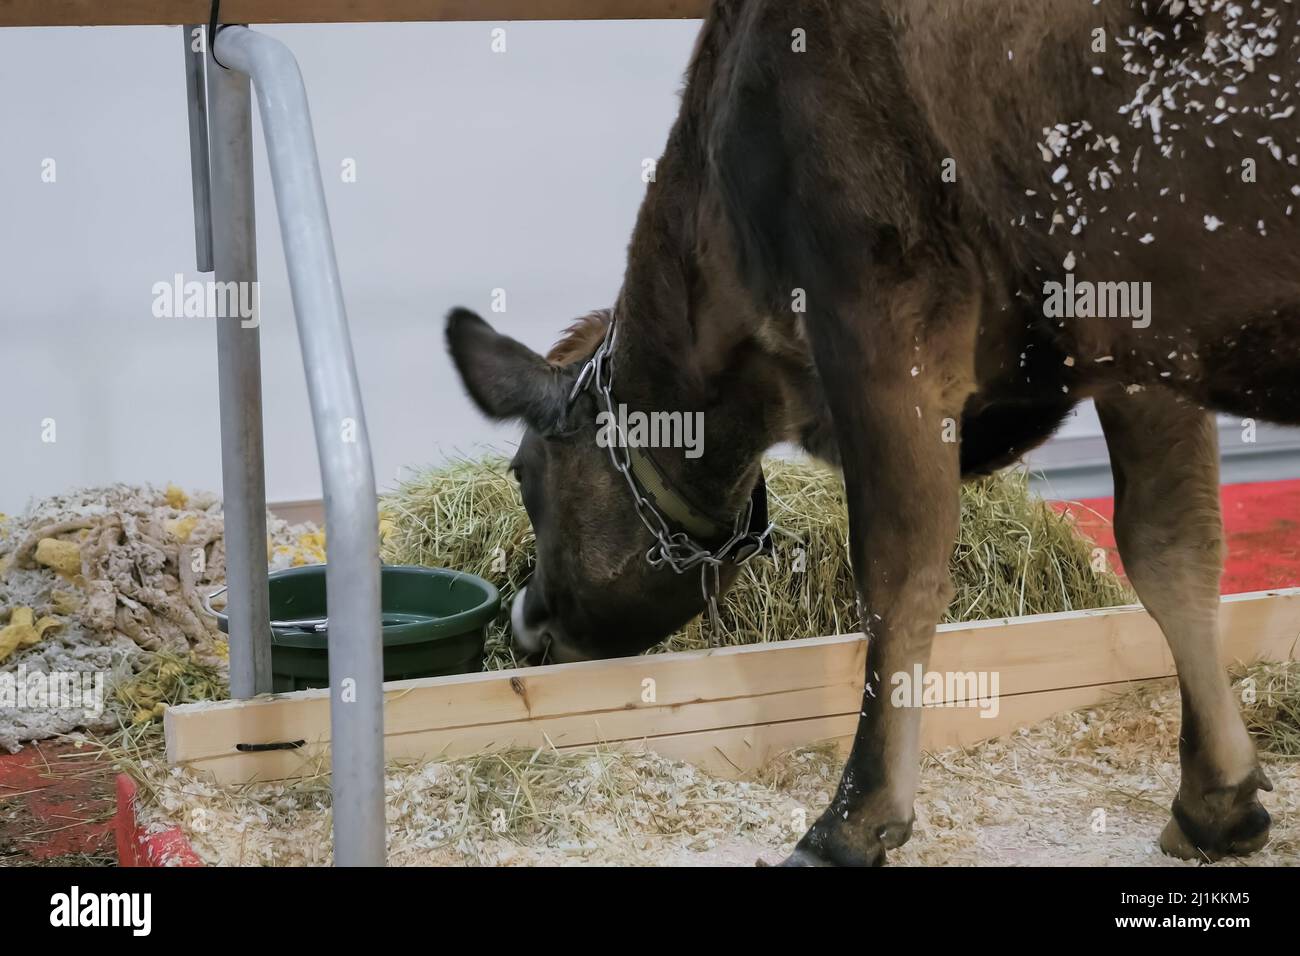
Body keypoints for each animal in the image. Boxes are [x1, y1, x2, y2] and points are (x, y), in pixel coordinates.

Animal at [446, 0, 1297, 865]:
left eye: (524, 473)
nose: (524, 625)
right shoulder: (1141, 341)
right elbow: (1172, 549)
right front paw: (1216, 801)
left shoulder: (881, 318)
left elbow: (897, 577)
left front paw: (851, 821)